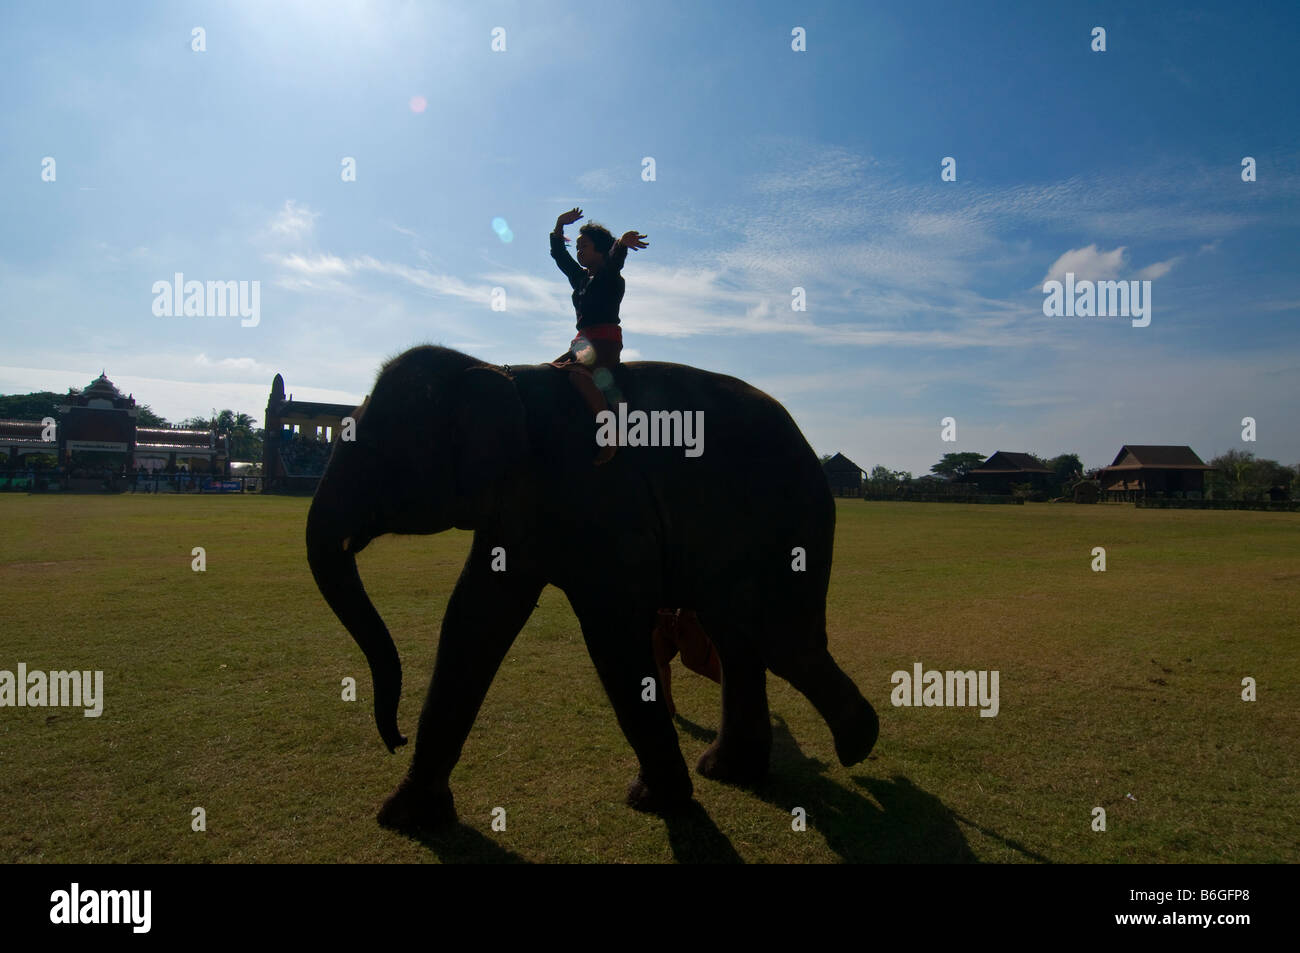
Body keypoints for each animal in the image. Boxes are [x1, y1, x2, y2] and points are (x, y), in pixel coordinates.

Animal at [306, 345, 879, 830]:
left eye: (374, 453)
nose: (395, 738)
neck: (497, 369)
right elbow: (474, 619)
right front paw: (403, 816)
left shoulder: (601, 498)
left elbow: (613, 631)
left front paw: (653, 802)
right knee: (741, 638)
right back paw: (733, 769)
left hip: (792, 520)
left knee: (780, 639)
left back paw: (857, 743)